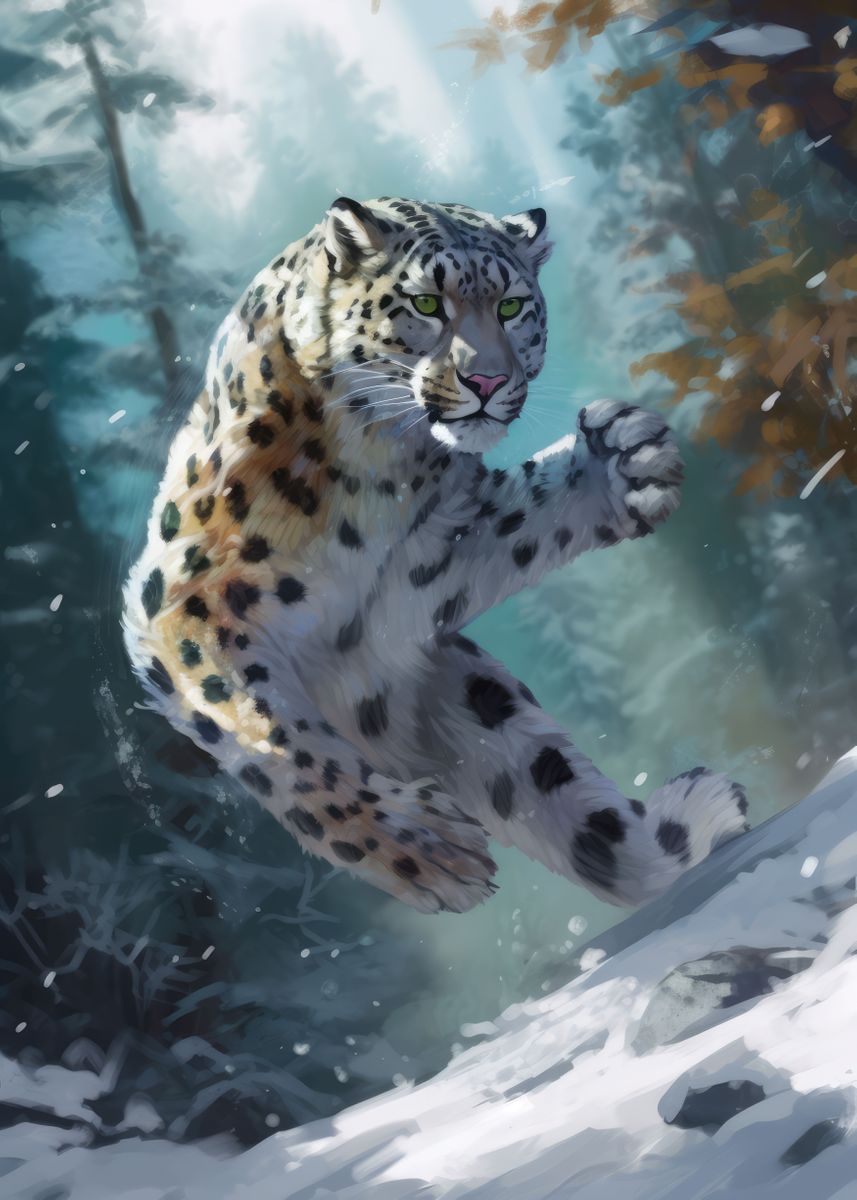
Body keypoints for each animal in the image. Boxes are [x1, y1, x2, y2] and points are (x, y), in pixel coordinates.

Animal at [123, 196, 748, 914]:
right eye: (425, 303)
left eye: (511, 306)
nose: (487, 379)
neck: (381, 467)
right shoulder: (189, 602)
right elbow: (274, 736)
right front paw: (423, 848)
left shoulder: (420, 567)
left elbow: (522, 520)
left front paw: (620, 463)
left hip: (465, 696)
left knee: (562, 797)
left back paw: (695, 819)